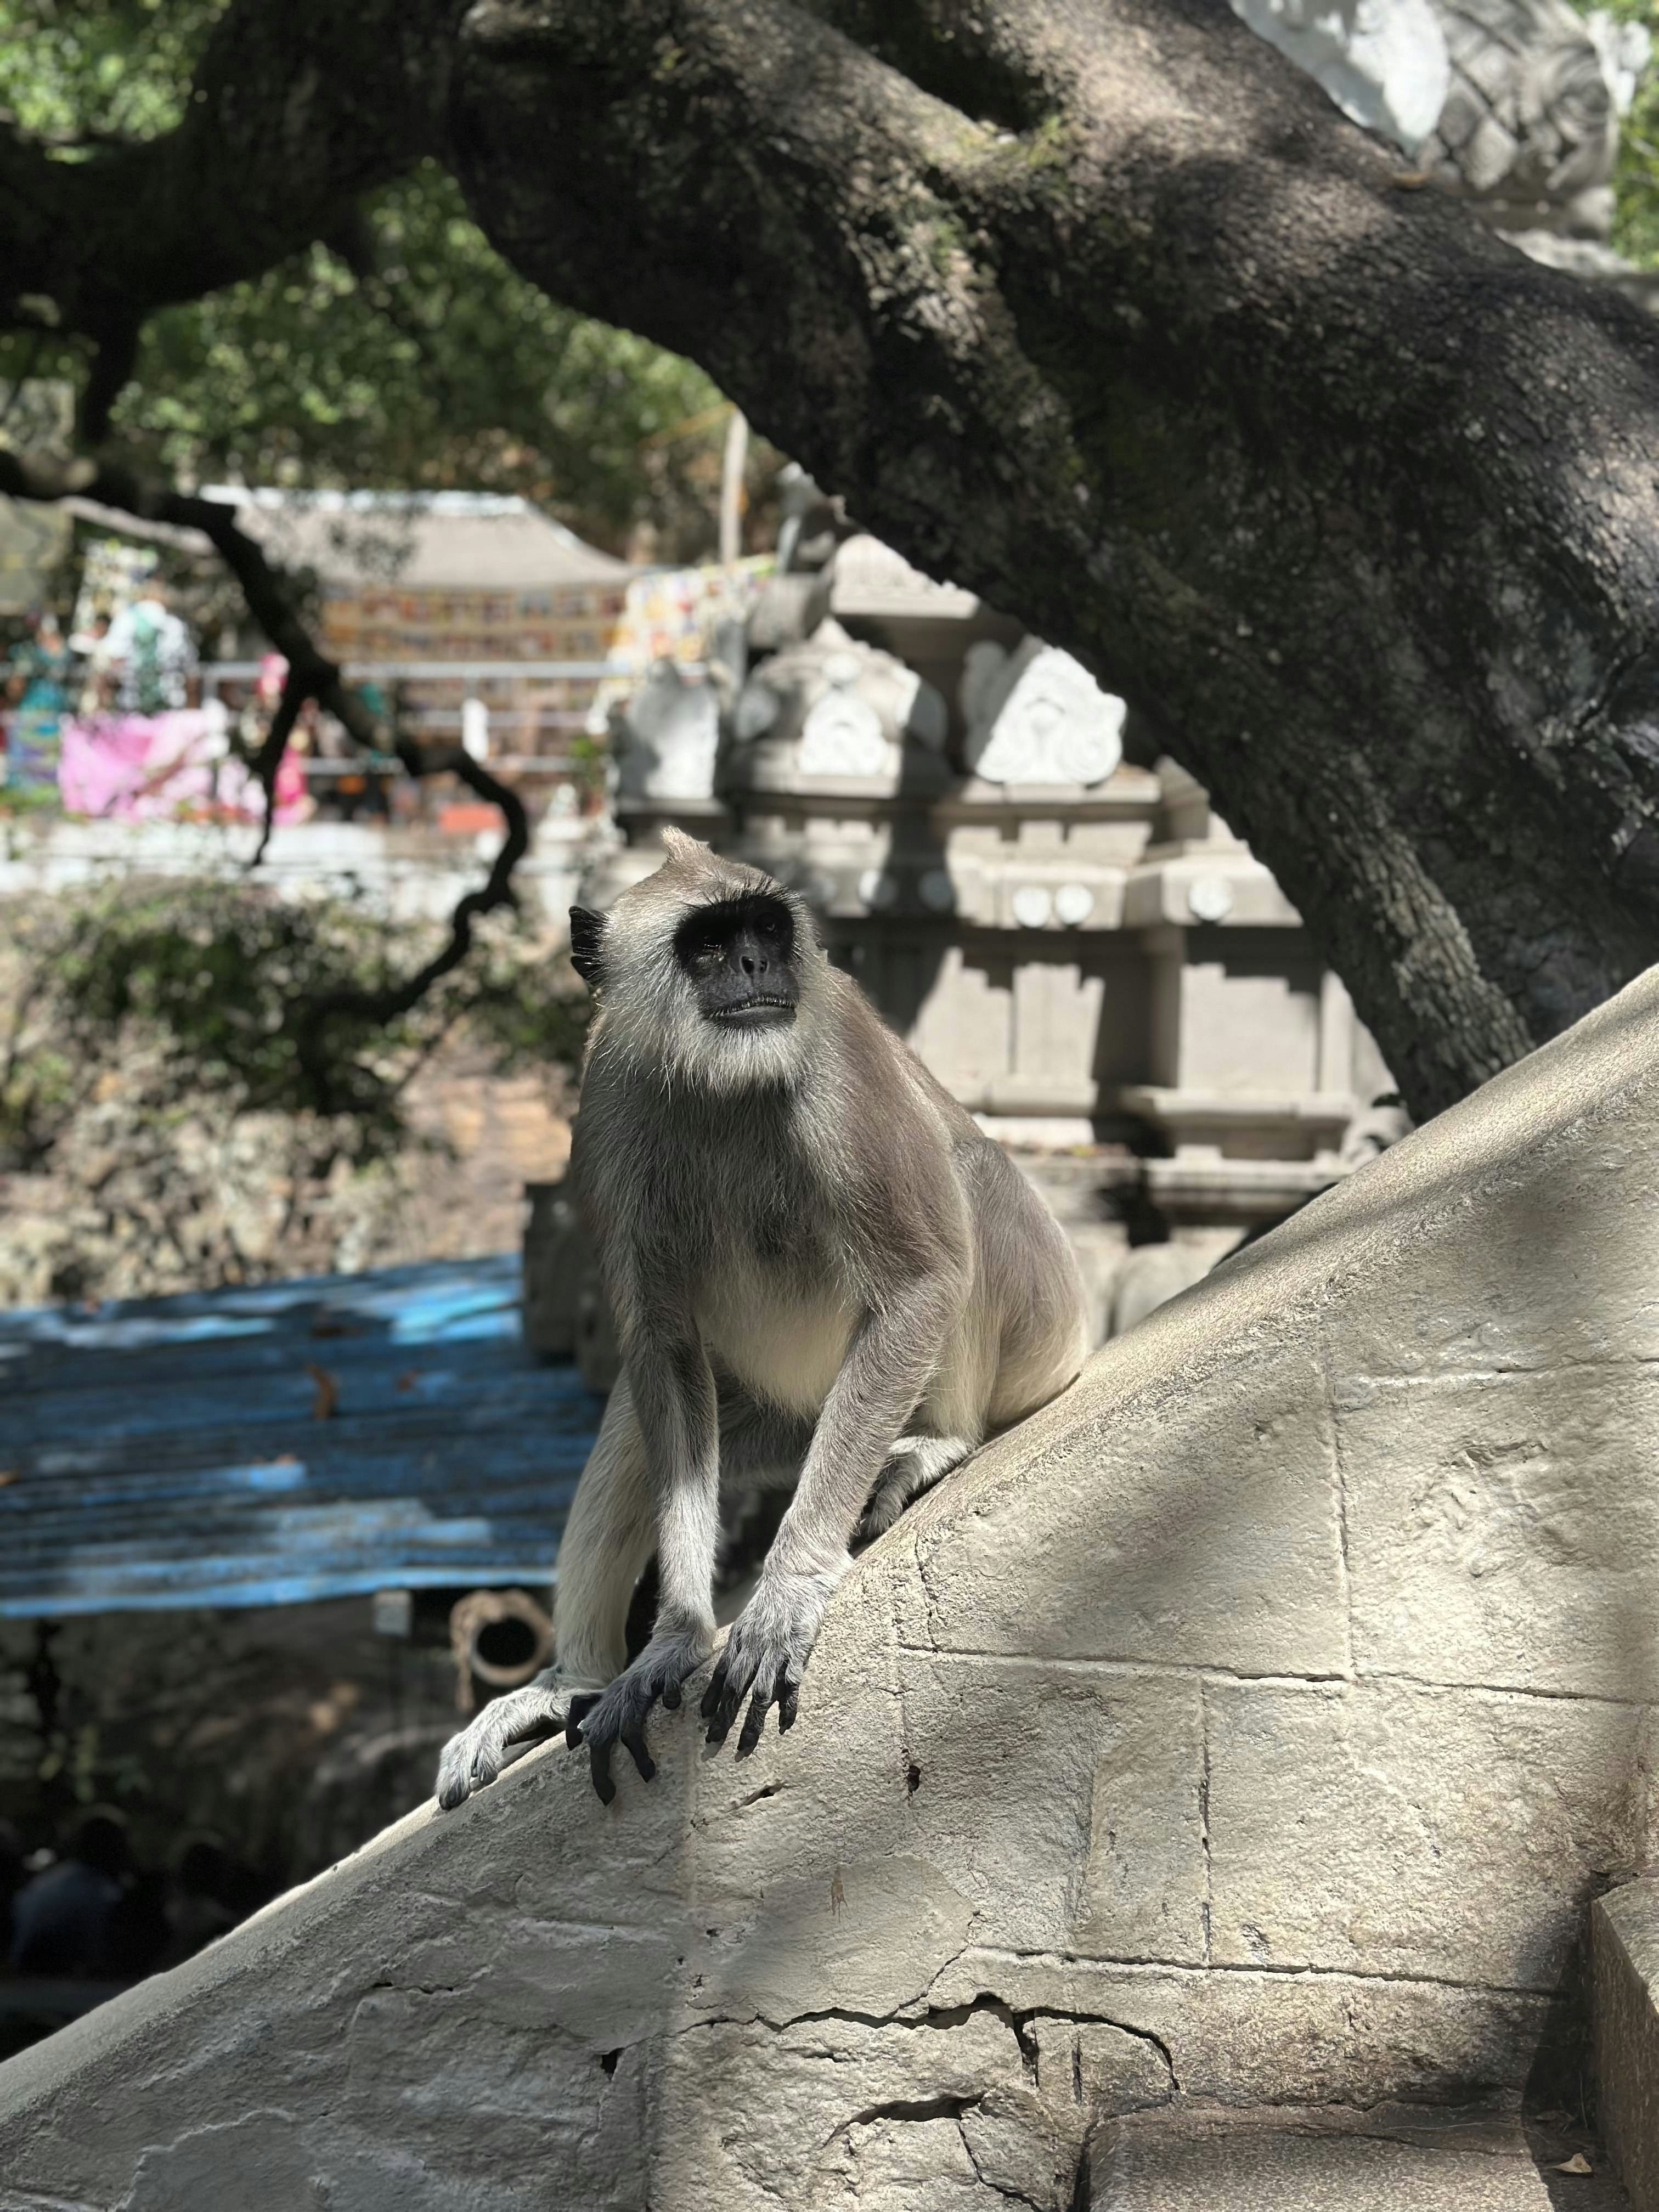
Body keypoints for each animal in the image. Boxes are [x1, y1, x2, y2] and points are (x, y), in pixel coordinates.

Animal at [436, 829, 1088, 1809]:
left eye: (767, 931)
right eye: (710, 943)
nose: (755, 965)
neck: (722, 1083)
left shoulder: (839, 1050)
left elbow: (920, 1283)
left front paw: (786, 1588)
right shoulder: (613, 1087)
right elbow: (662, 1346)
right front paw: (674, 1637)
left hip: (1016, 1327)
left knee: (963, 1183)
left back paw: (942, 1442)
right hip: (786, 1424)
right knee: (634, 1424)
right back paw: (570, 1684)